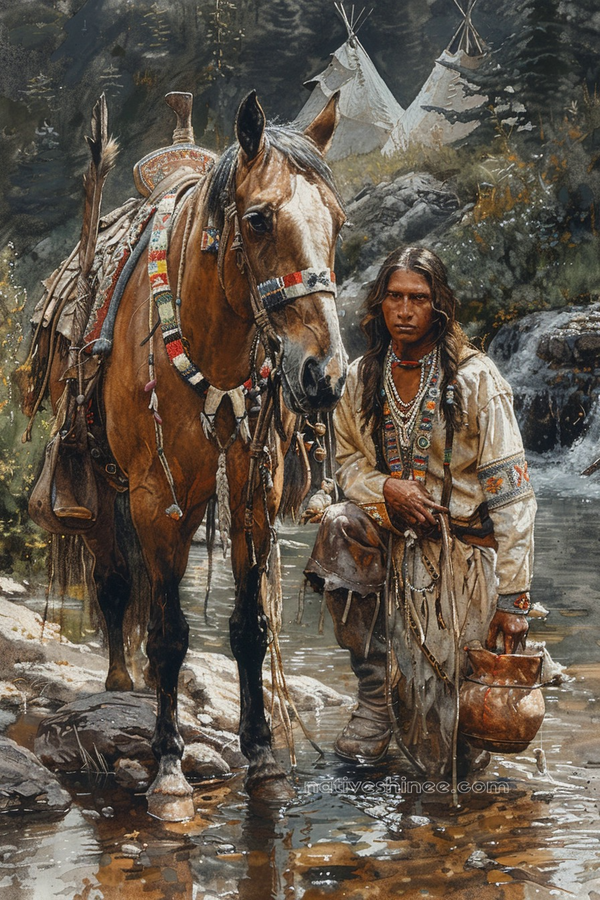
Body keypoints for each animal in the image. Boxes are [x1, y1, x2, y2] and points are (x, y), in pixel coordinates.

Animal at [39, 91, 347, 821]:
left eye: (338, 222)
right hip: (101, 490)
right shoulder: (156, 499)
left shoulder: (253, 496)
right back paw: (121, 682)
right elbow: (170, 632)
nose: (325, 375)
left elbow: (249, 628)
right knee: (116, 585)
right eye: (258, 219)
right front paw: (170, 771)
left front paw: (263, 756)